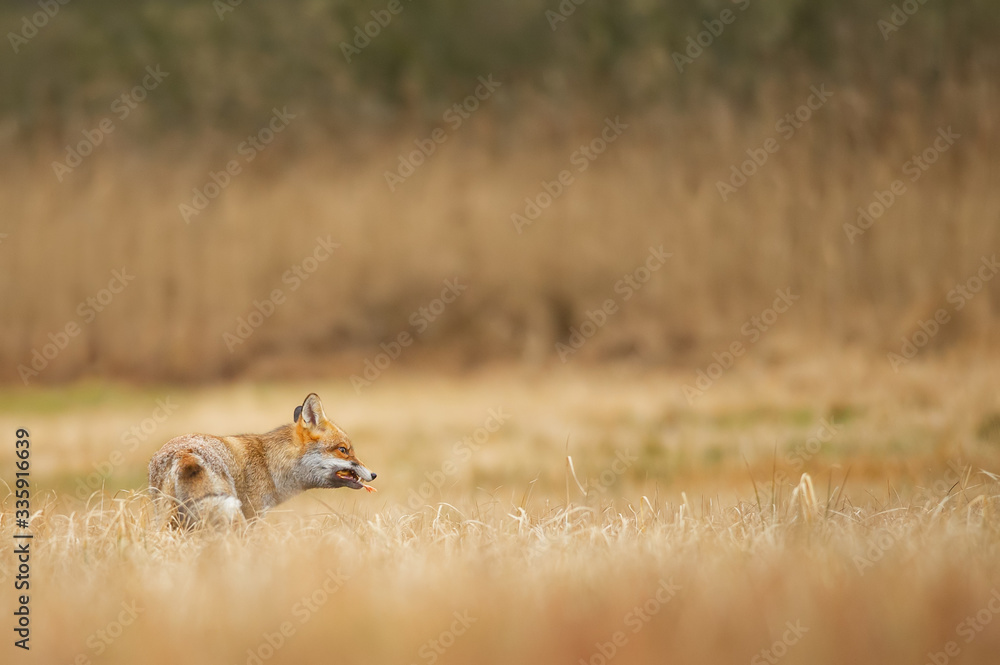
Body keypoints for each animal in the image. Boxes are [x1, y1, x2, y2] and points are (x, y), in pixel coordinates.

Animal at [148, 393, 376, 527]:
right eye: (343, 450)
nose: (374, 474)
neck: (269, 465)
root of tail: (185, 453)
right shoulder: (252, 515)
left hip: (165, 518)